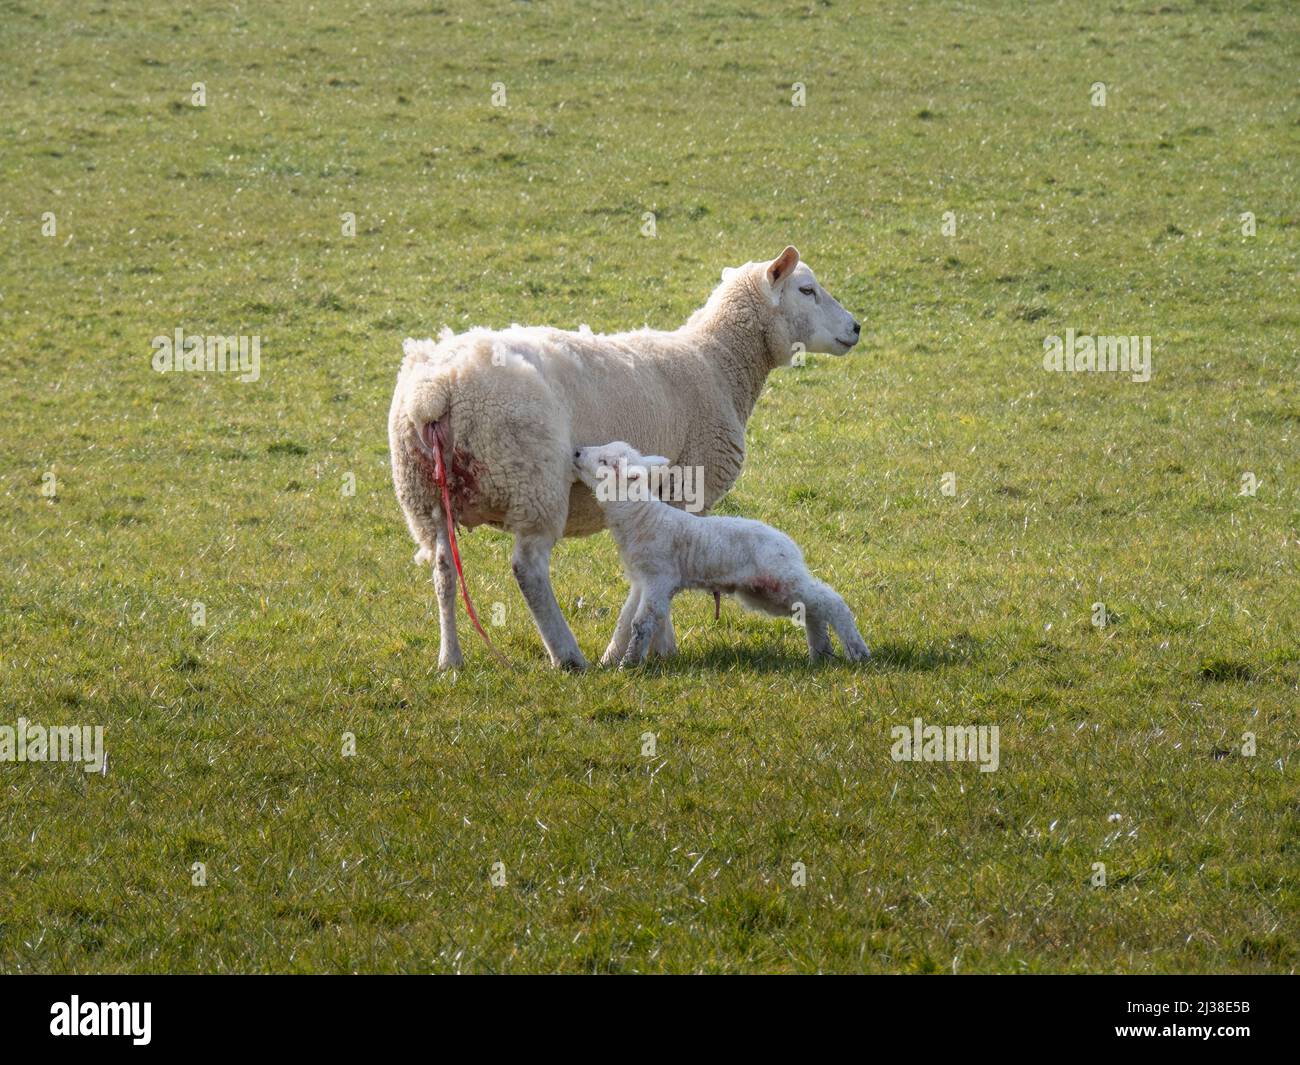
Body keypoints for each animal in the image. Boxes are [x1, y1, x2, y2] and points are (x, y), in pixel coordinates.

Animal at [571, 441, 871, 667]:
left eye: (604, 461)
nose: (575, 452)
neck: (642, 517)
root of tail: (790, 544)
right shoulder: (640, 580)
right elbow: (625, 621)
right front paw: (610, 661)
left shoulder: (659, 577)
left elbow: (642, 623)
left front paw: (630, 665)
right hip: (765, 591)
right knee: (811, 608)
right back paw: (821, 654)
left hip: (781, 576)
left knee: (830, 601)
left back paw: (857, 651)